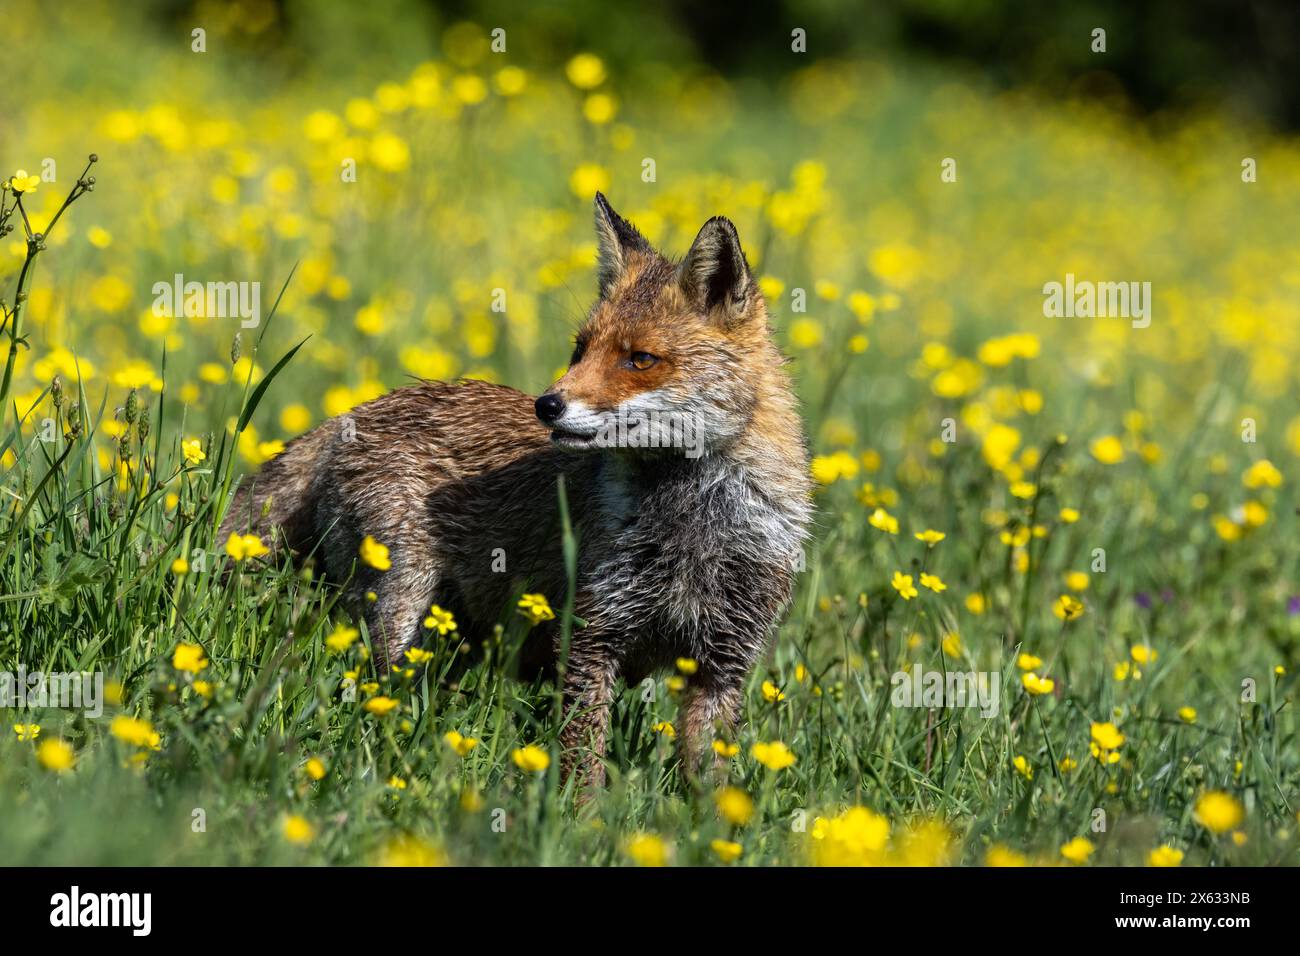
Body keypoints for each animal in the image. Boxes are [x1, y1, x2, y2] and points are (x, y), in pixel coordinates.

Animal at [218, 194, 813, 785]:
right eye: (580, 350)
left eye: (640, 359)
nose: (547, 405)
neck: (695, 527)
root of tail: (352, 414)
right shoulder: (591, 635)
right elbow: (582, 771)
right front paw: (577, 814)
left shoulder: (724, 662)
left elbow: (711, 788)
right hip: (401, 616)